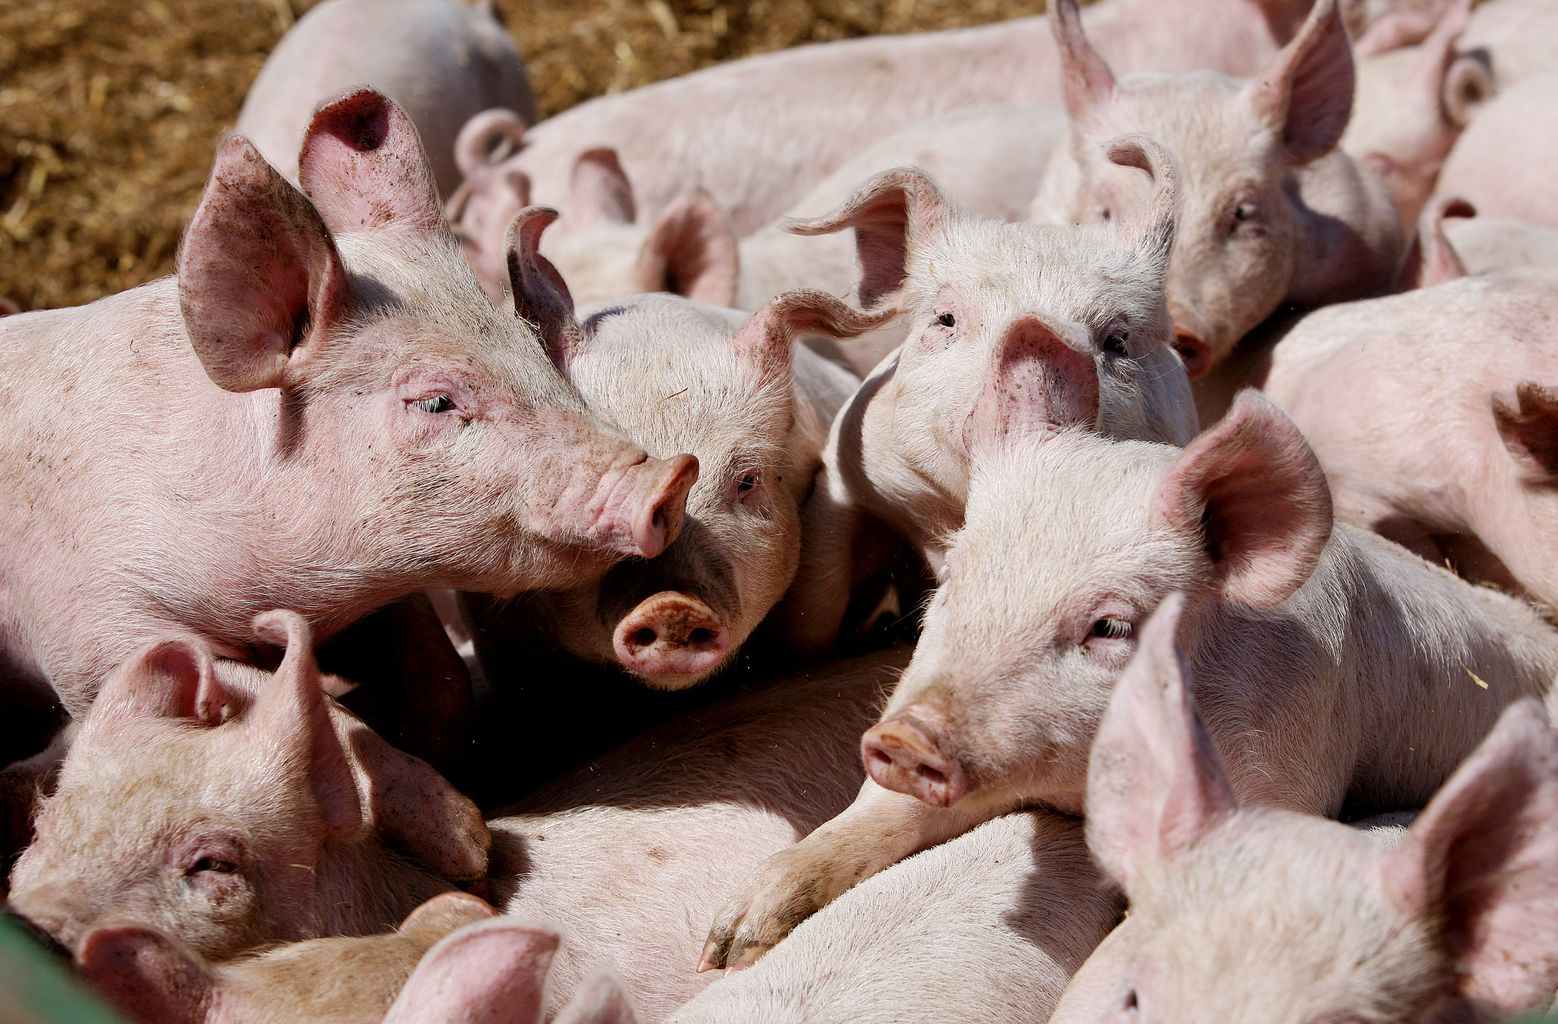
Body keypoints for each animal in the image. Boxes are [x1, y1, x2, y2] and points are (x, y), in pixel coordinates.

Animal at [698, 392, 1558, 970]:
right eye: (954, 582)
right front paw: (727, 944)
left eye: (1110, 628)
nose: (906, 738)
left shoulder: (1291, 772)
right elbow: (877, 818)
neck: (1079, 786)